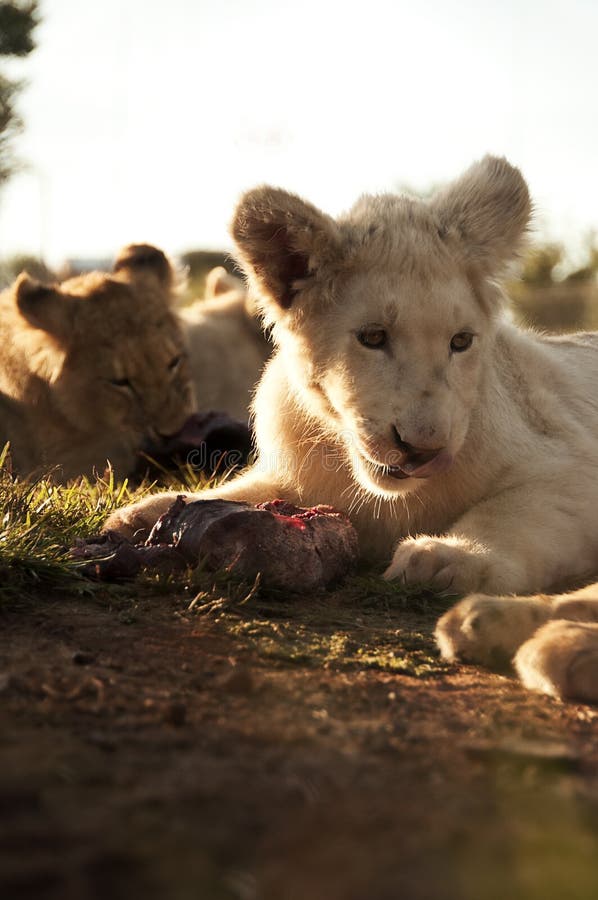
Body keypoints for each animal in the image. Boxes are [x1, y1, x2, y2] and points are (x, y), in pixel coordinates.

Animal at [105, 157, 598, 703]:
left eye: (461, 341)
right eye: (373, 337)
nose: (422, 450)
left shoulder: (569, 463)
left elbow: (511, 512)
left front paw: (445, 557)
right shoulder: (292, 479)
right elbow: (234, 494)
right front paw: (139, 516)